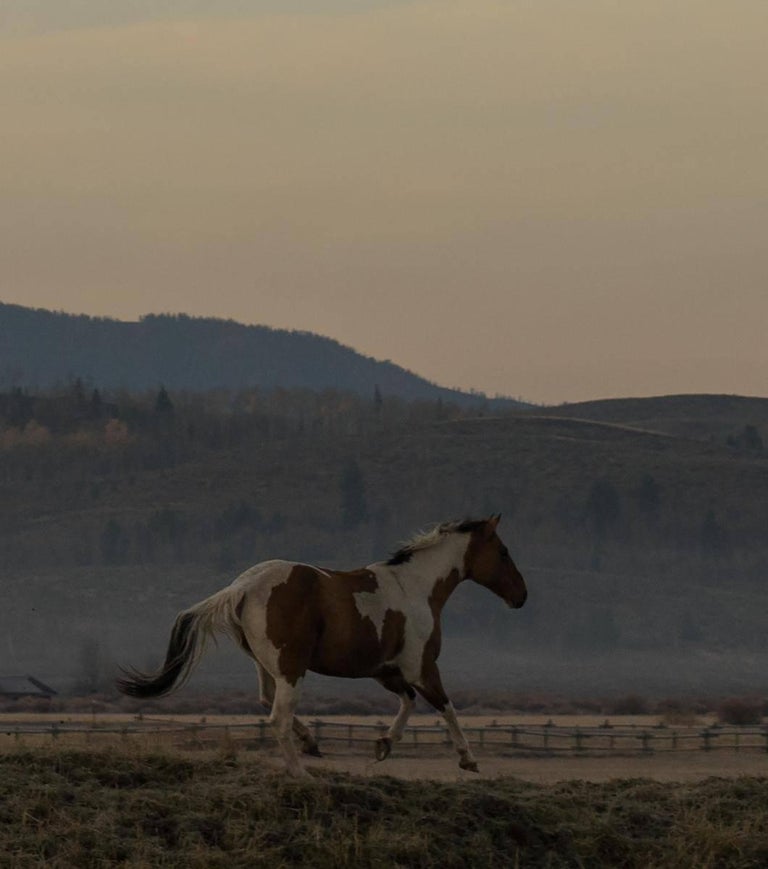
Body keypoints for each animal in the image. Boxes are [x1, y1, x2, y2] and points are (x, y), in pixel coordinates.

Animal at [116, 514, 527, 777]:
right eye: (504, 552)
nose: (521, 596)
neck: (416, 587)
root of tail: (242, 587)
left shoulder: (384, 671)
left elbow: (408, 702)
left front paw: (383, 744)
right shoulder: (421, 666)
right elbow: (446, 707)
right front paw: (468, 759)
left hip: (267, 666)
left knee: (267, 701)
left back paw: (311, 743)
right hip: (292, 668)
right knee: (277, 717)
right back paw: (301, 773)